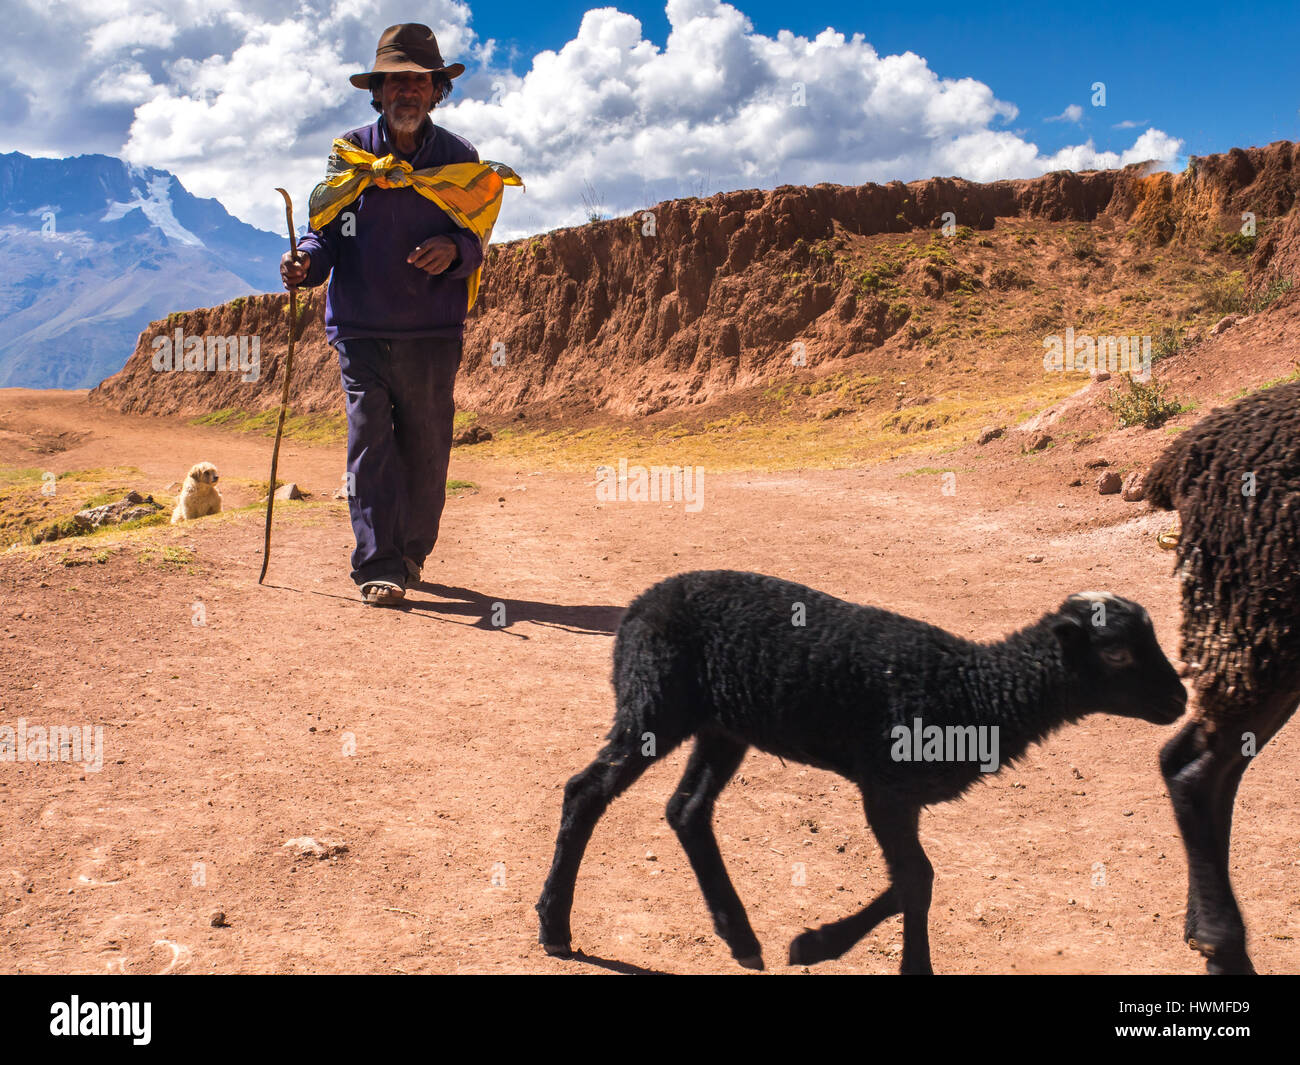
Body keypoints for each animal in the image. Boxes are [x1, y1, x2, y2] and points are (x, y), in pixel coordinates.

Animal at [536, 571, 1187, 973]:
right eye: (1118, 653)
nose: (1180, 700)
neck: (977, 691)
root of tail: (639, 606)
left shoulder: (903, 795)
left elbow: (915, 882)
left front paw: (869, 954)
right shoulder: (885, 786)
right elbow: (916, 880)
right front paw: (817, 946)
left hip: (723, 727)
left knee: (687, 811)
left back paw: (740, 937)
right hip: (656, 702)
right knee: (586, 791)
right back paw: (555, 929)